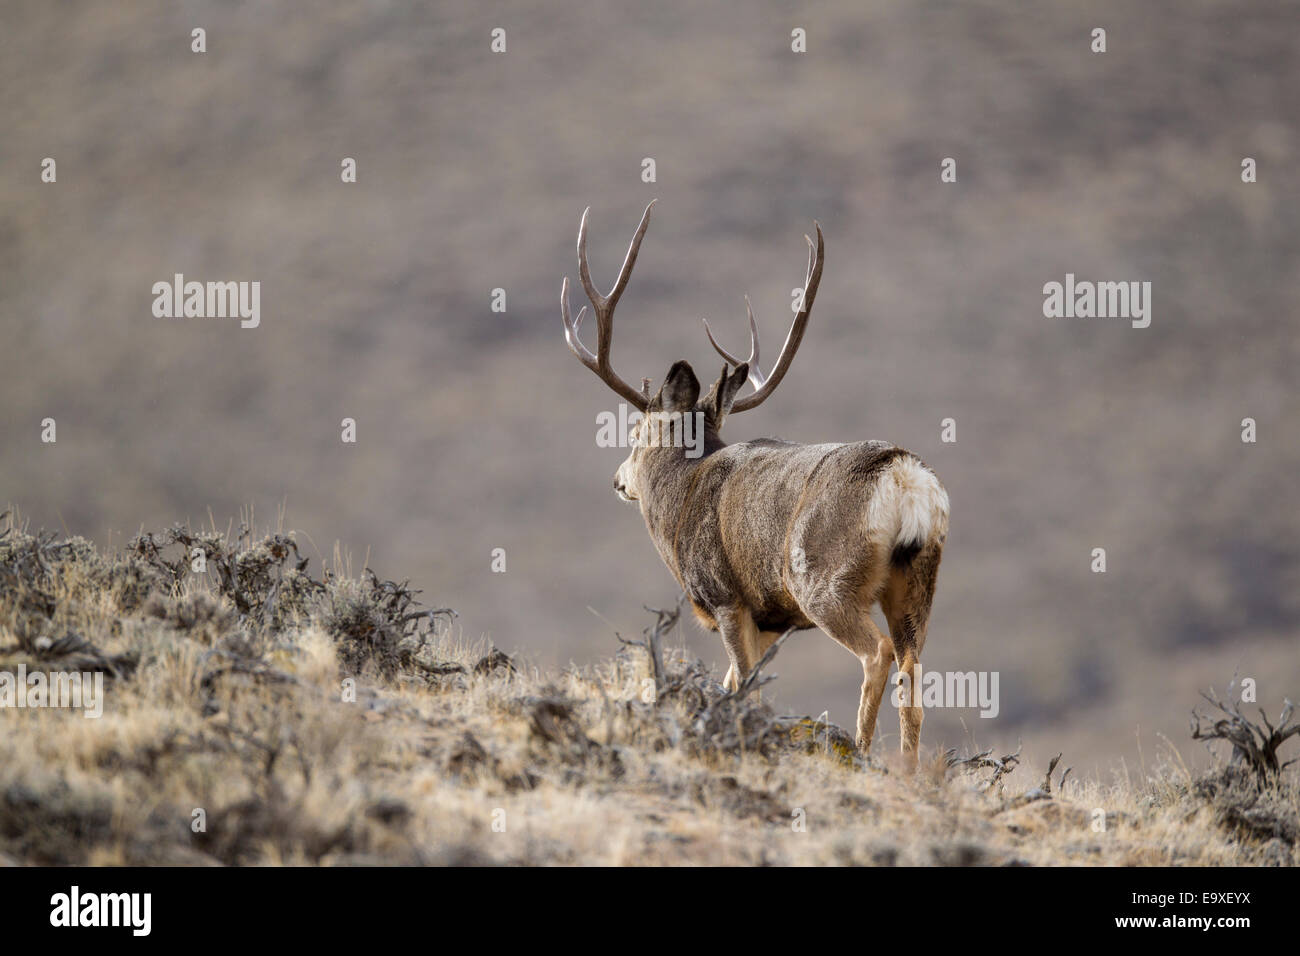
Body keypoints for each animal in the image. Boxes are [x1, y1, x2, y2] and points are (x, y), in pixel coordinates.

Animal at [561, 201, 949, 768]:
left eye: (634, 433)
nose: (617, 480)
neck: (679, 503)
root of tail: (904, 475)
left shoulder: (727, 597)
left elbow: (744, 686)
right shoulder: (769, 619)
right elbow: (733, 685)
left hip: (823, 579)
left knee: (876, 653)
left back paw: (858, 751)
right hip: (918, 579)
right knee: (913, 672)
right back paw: (908, 773)